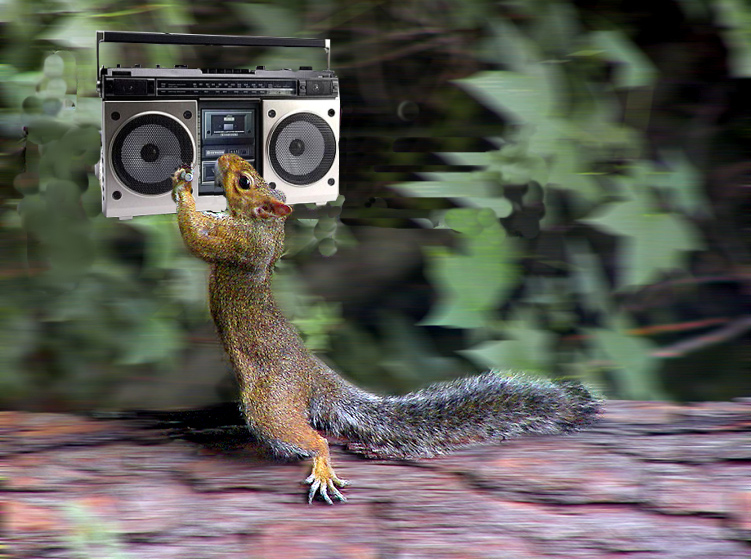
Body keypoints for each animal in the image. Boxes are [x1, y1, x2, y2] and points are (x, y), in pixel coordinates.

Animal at [172, 153, 601, 504]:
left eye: (244, 181)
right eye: (255, 175)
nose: (224, 158)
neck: (267, 228)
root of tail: (317, 378)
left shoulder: (237, 243)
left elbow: (197, 239)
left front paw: (184, 189)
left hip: (270, 402)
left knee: (312, 438)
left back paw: (322, 465)